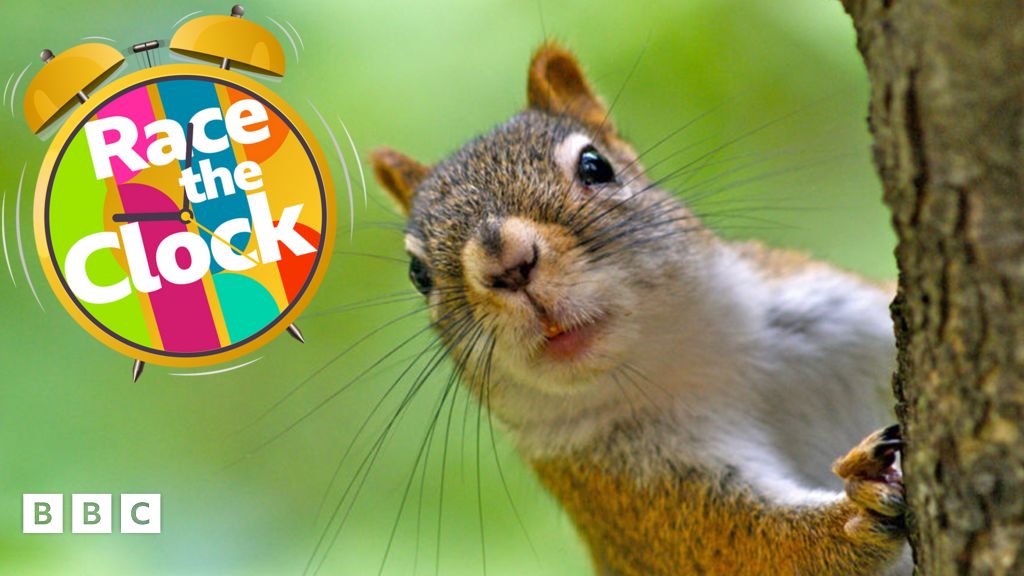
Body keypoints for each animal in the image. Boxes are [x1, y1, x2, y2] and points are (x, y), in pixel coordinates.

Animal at [369, 43, 910, 576]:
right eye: (418, 273)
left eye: (595, 166)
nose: (507, 264)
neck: (685, 362)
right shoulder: (631, 491)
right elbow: (748, 549)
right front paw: (856, 508)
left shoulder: (835, 309)